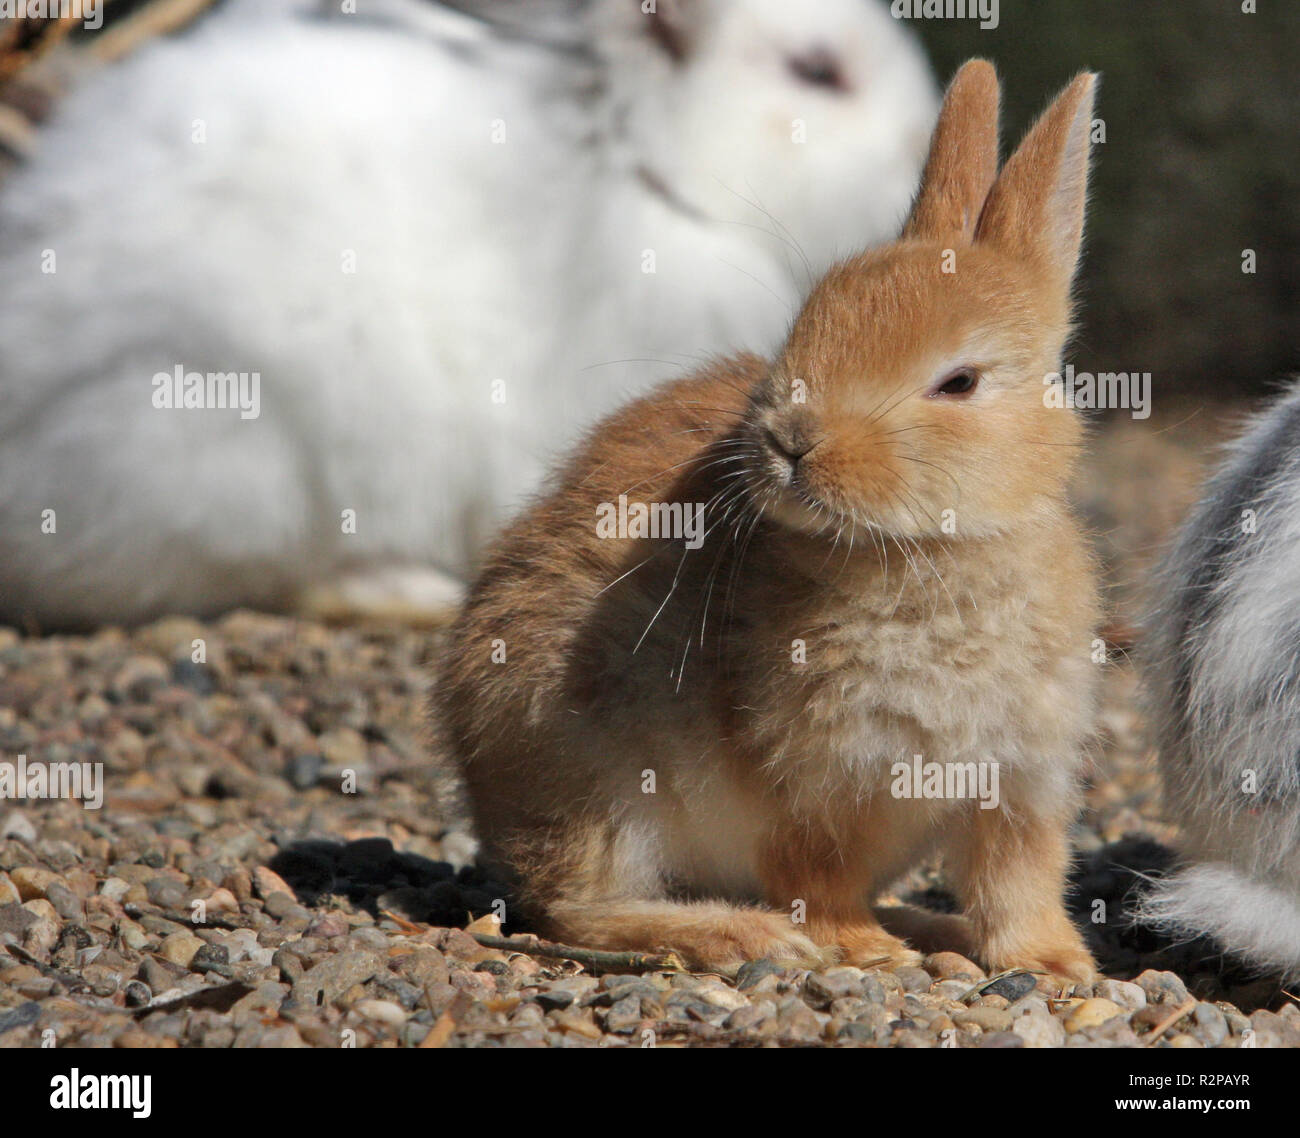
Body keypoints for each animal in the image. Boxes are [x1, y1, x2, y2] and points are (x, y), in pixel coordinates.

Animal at [436, 61, 1105, 982]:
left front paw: (1054, 965)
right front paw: (860, 950)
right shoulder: (810, 780)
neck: (929, 548)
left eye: (960, 382)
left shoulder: (1017, 779)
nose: (789, 439)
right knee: (573, 906)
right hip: (590, 776)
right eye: (808, 322)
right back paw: (734, 934)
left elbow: (1018, 876)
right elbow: (814, 872)